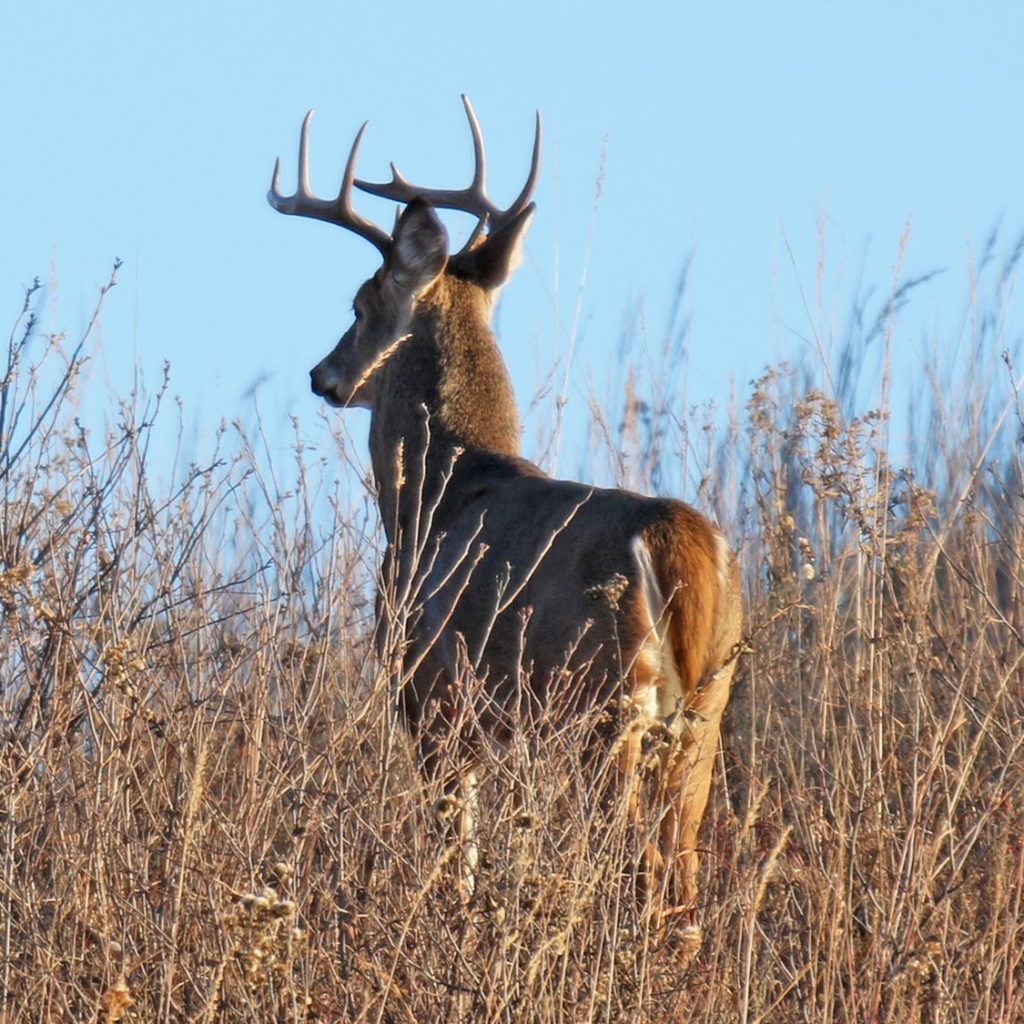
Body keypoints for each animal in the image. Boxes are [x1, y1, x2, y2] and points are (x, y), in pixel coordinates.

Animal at [268, 97, 742, 950]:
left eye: (359, 303)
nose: (324, 375)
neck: (440, 493)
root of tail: (678, 542)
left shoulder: (429, 695)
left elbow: (455, 845)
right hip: (705, 711)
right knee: (683, 879)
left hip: (605, 704)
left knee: (640, 863)